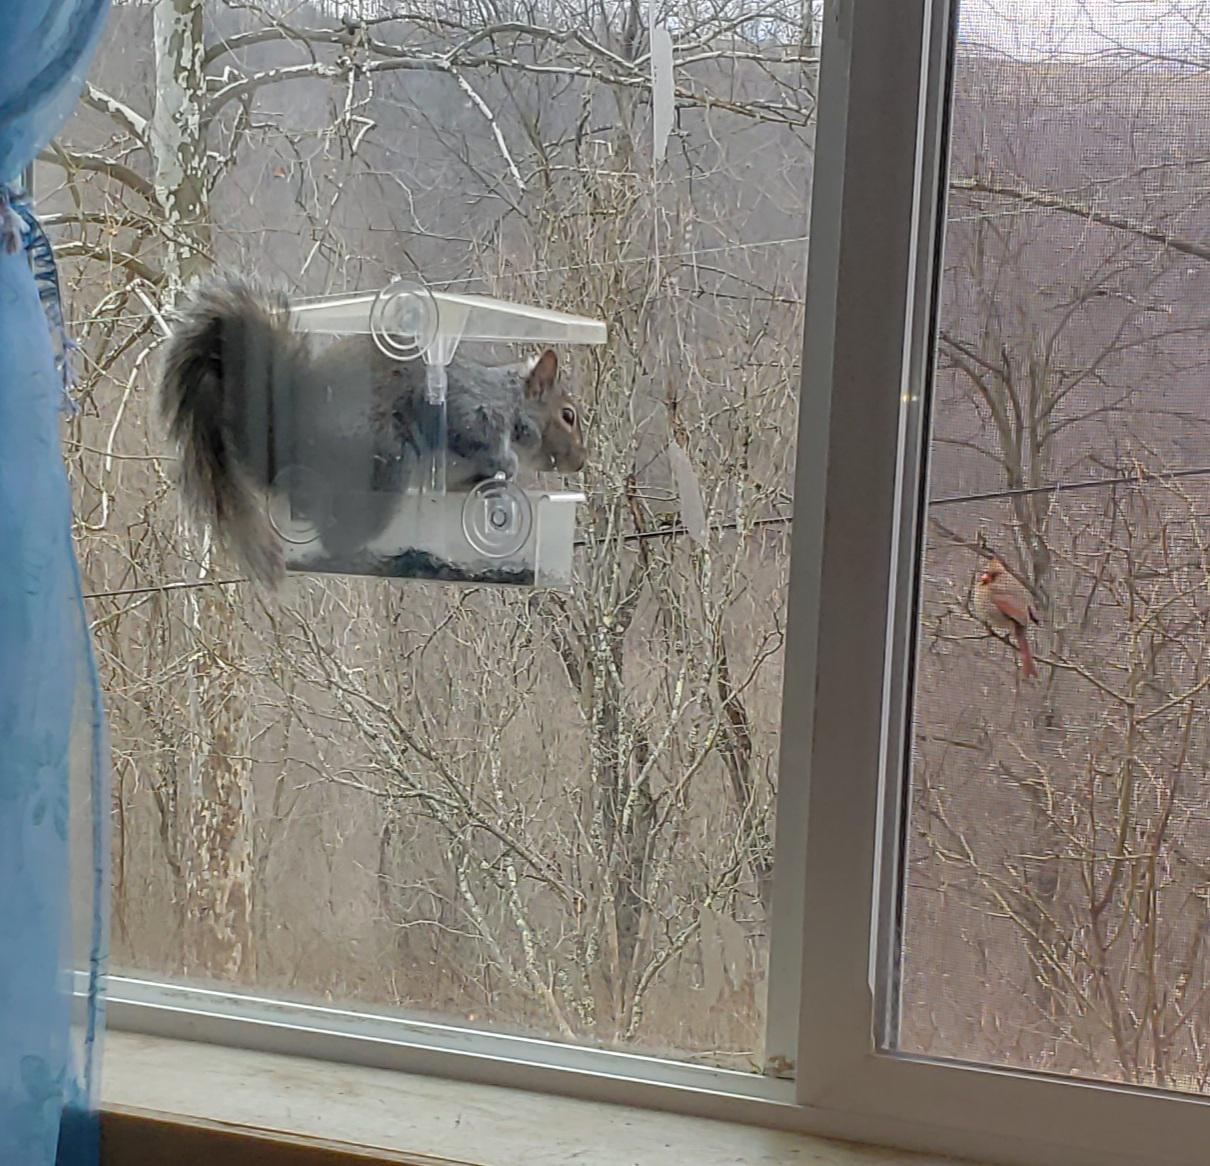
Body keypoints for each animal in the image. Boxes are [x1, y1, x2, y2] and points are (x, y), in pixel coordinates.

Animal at [157, 275, 587, 585]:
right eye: (568, 416)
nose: (581, 462)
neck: (509, 401)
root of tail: (288, 452)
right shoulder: (470, 410)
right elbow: (471, 436)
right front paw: (507, 464)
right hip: (386, 460)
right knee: (337, 538)